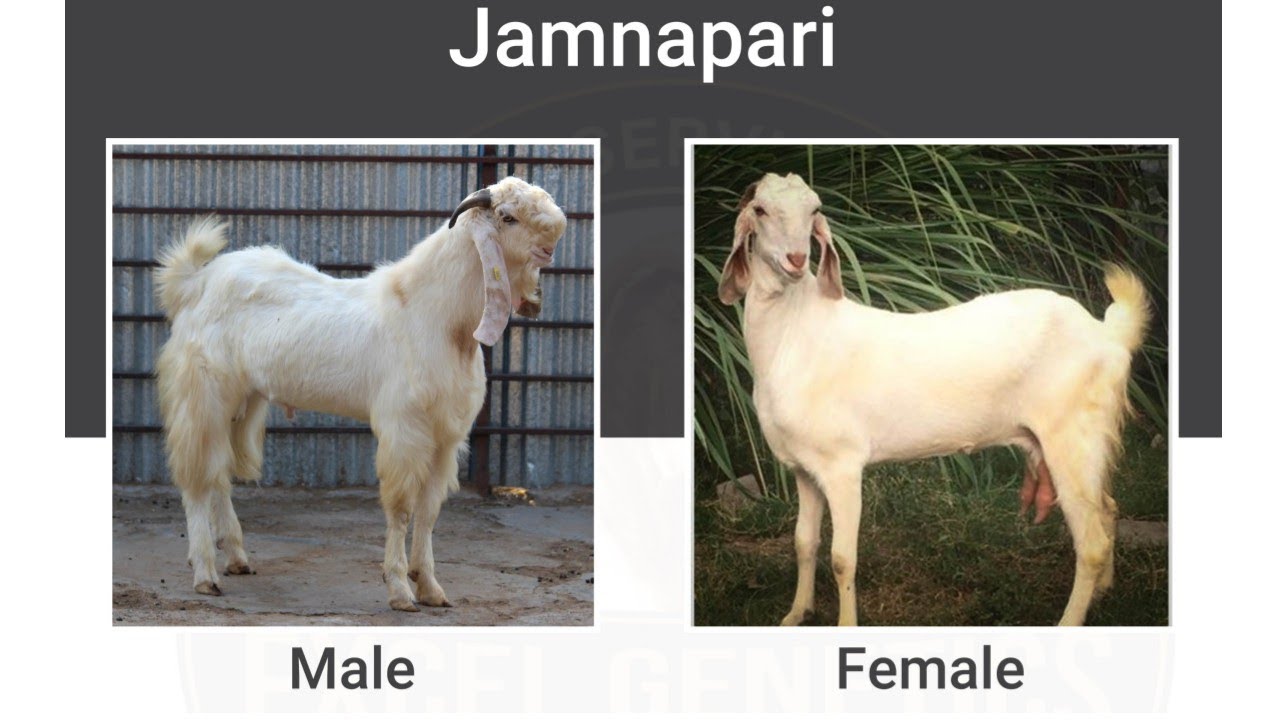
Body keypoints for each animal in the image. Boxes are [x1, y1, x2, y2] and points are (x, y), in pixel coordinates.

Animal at [154, 177, 566, 612]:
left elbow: (429, 510)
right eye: (507, 216)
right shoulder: (404, 428)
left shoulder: (446, 436)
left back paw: (235, 556)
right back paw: (205, 574)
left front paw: (431, 586)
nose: (551, 246)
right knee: (196, 478)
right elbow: (401, 508)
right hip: (202, 395)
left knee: (217, 472)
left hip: (239, 400)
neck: (434, 317)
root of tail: (194, 283)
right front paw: (400, 589)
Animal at [716, 173, 1149, 626]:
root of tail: (1108, 333)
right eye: (760, 210)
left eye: (814, 209)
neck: (795, 335)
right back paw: (1104, 592)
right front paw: (796, 614)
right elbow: (803, 542)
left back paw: (1069, 619)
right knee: (1109, 507)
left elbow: (842, 559)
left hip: (1073, 436)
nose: (797, 259)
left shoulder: (842, 465)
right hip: (1088, 442)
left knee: (1092, 543)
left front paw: (845, 623)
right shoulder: (804, 467)